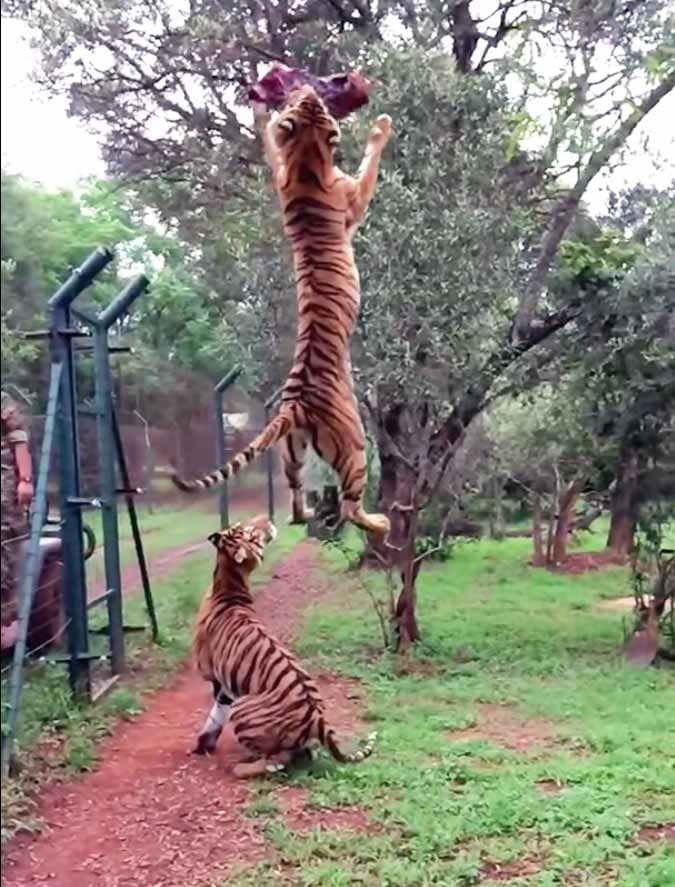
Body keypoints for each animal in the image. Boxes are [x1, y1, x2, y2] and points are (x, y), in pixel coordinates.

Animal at [171, 84, 392, 538]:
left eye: (303, 101)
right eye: (315, 103)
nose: (305, 88)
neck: (307, 156)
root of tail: (293, 405)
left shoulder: (278, 170)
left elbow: (267, 140)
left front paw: (258, 109)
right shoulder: (355, 198)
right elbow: (369, 165)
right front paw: (381, 126)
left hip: (291, 450)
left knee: (293, 495)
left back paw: (304, 512)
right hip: (354, 443)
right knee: (350, 506)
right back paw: (380, 522)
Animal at [192, 513, 376, 778]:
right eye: (245, 530)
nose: (266, 519)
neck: (229, 583)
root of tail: (317, 718)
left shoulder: (213, 676)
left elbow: (215, 712)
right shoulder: (224, 684)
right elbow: (216, 713)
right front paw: (203, 744)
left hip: (243, 705)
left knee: (278, 760)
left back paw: (242, 767)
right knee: (305, 753)